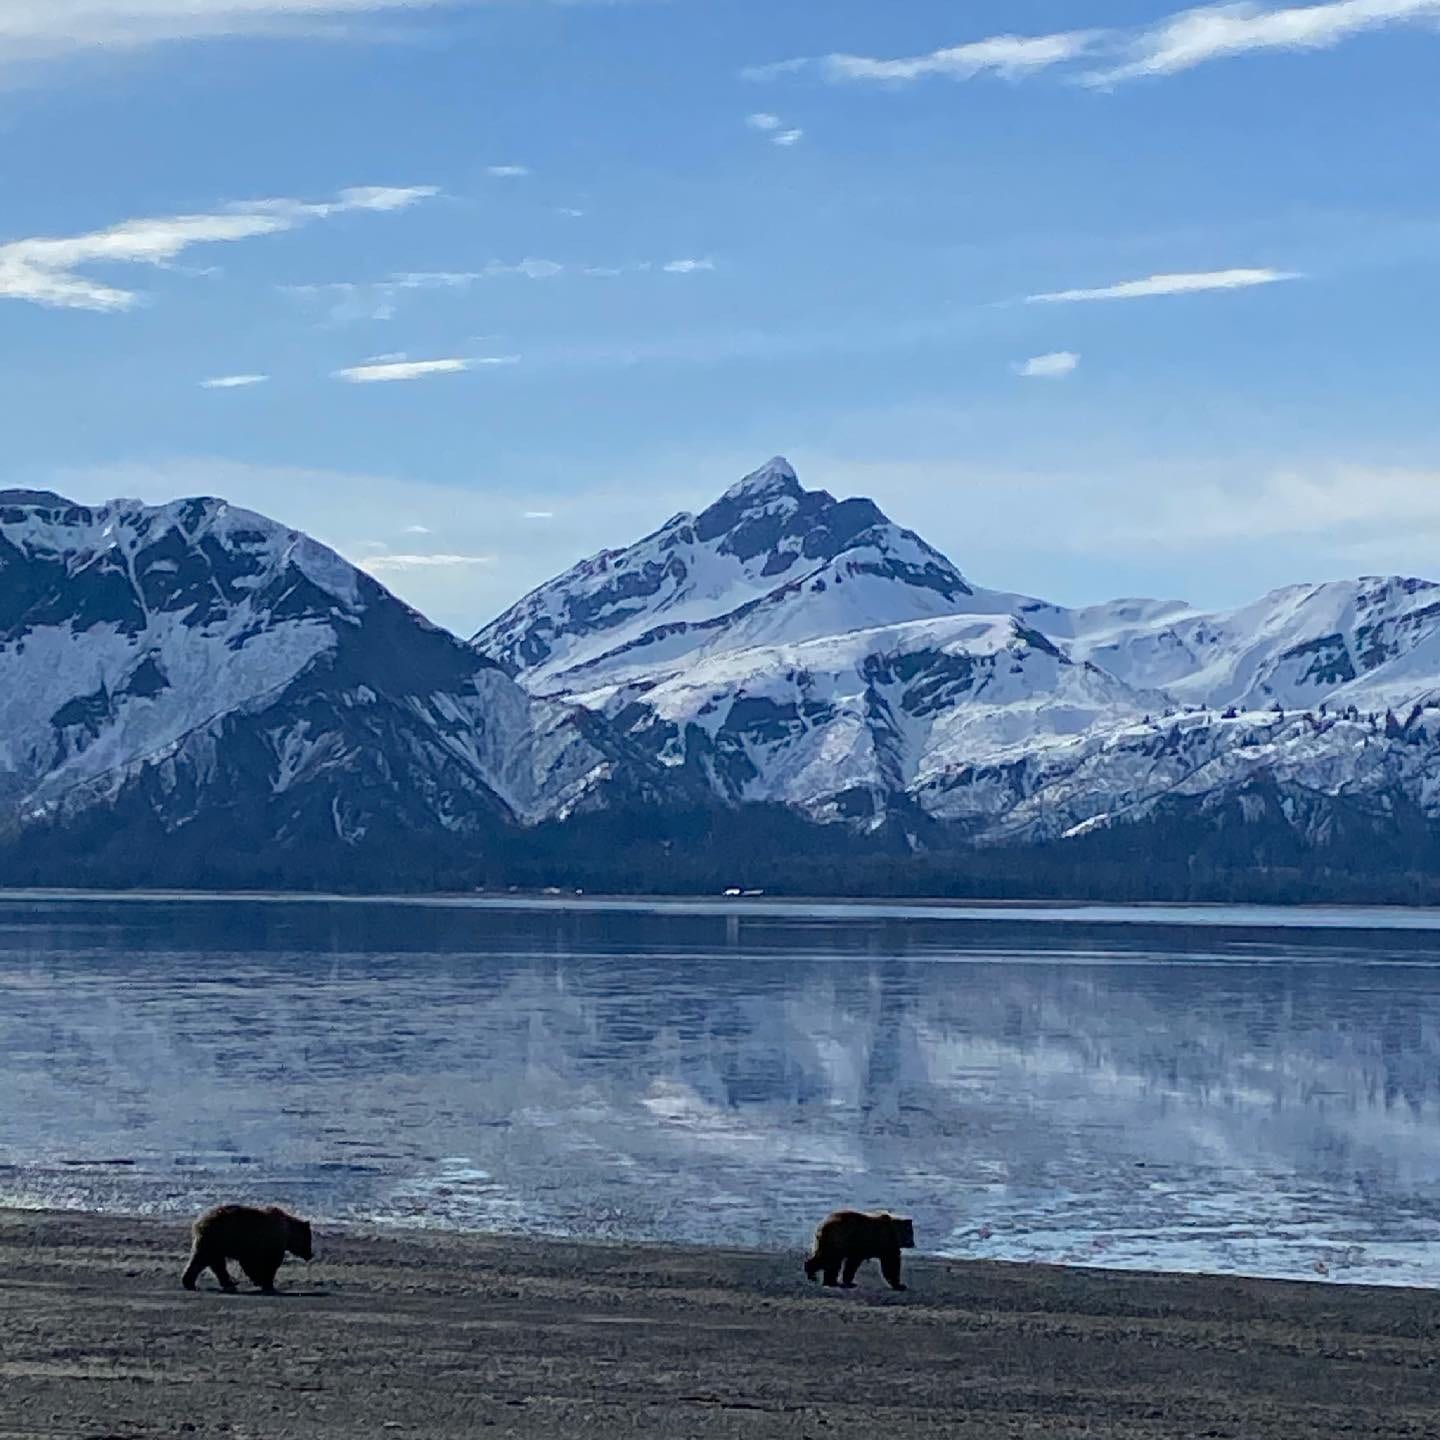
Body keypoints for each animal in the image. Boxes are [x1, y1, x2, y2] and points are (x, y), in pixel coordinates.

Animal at [180, 1204, 313, 1294]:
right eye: (309, 1239)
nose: (310, 1254)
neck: (288, 1233)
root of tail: (199, 1222)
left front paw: (260, 1281)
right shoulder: (263, 1243)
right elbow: (267, 1264)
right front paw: (266, 1283)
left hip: (213, 1242)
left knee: (205, 1260)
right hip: (217, 1238)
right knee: (208, 1261)